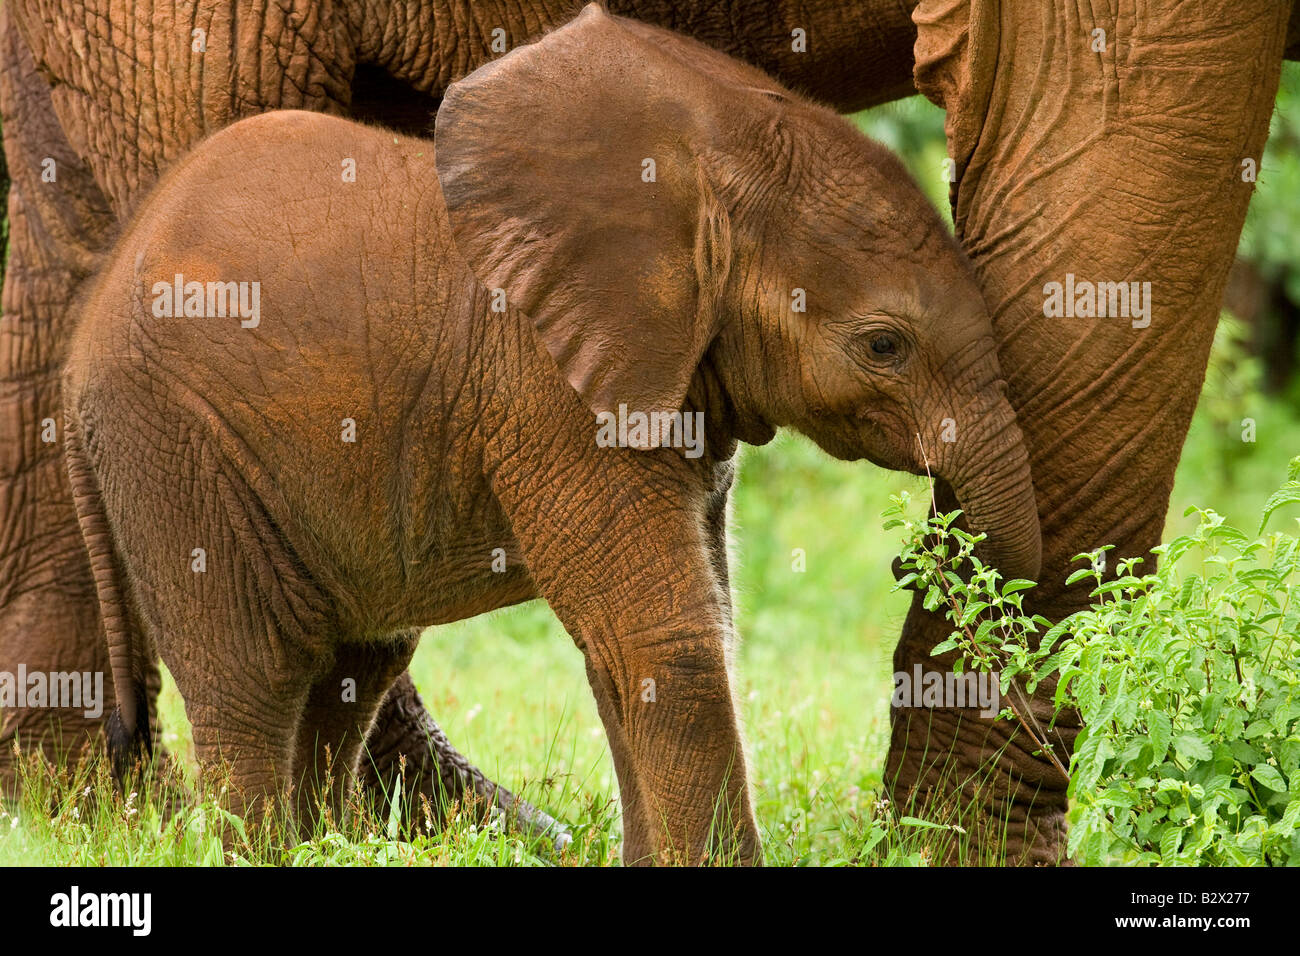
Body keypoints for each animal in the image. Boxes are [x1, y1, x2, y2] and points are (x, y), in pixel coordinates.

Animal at [60, 7, 1040, 864]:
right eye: (884, 346)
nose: (911, 554)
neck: (708, 152)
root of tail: (77, 344)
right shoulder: (545, 389)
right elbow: (669, 641)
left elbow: (647, 642)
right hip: (173, 442)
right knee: (254, 679)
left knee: (353, 666)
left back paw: (319, 845)